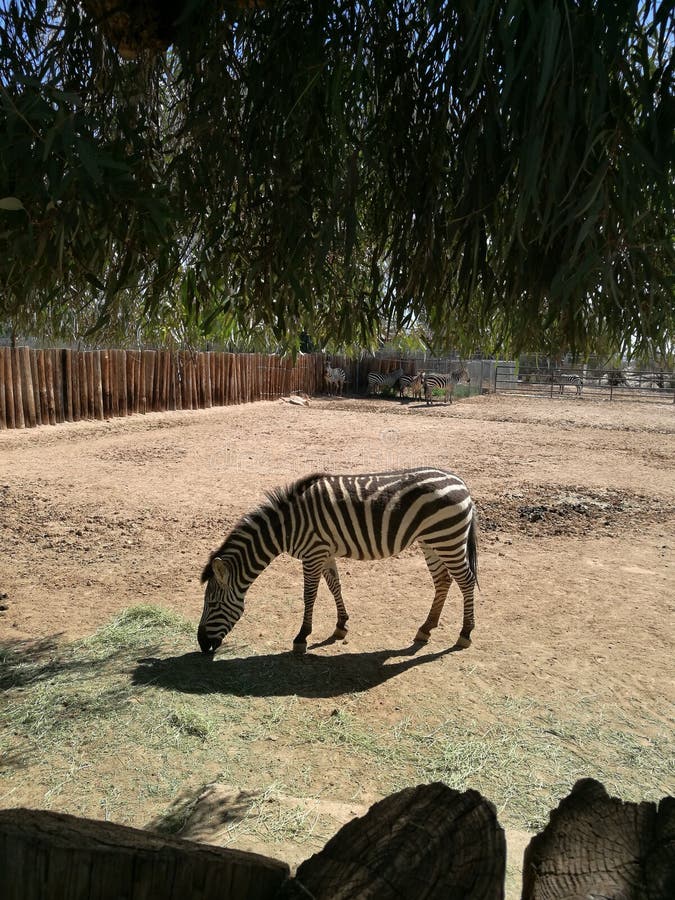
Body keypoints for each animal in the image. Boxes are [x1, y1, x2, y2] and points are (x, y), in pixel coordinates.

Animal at [198, 467, 478, 655]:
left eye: (212, 603)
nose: (201, 644)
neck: (286, 527)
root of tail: (460, 482)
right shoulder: (325, 552)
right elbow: (335, 586)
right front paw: (341, 626)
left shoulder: (312, 554)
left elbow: (309, 595)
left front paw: (301, 637)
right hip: (432, 542)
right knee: (443, 581)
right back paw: (426, 628)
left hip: (448, 539)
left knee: (466, 582)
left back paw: (465, 634)